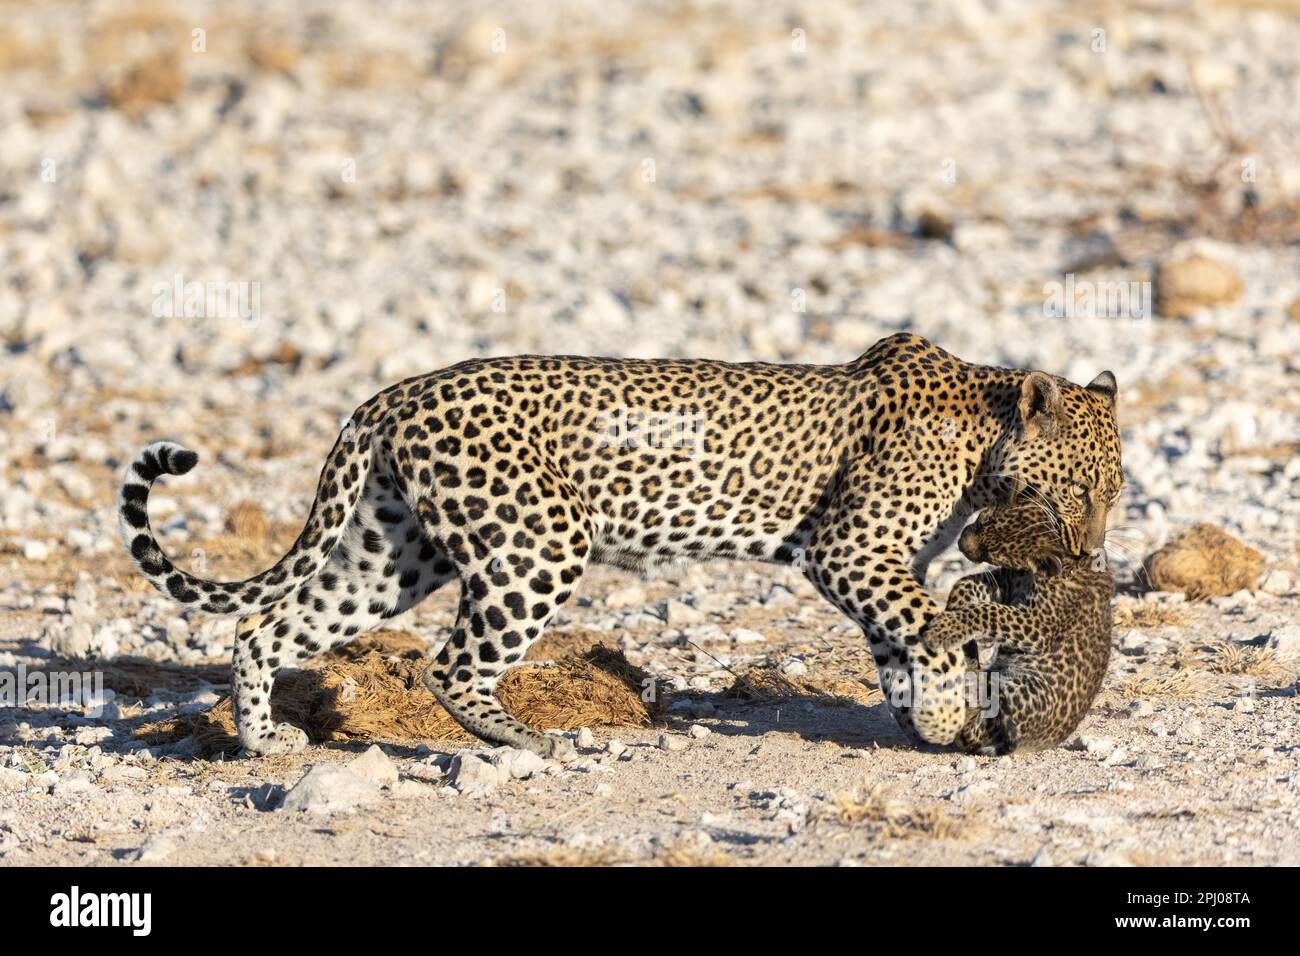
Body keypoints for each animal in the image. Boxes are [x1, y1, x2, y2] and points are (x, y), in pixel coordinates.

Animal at [925, 499, 1115, 755]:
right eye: (982, 520)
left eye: (994, 553)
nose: (961, 545)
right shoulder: (1005, 583)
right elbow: (964, 583)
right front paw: (954, 611)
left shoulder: (1038, 623)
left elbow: (990, 612)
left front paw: (944, 630)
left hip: (1027, 693)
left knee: (976, 729)